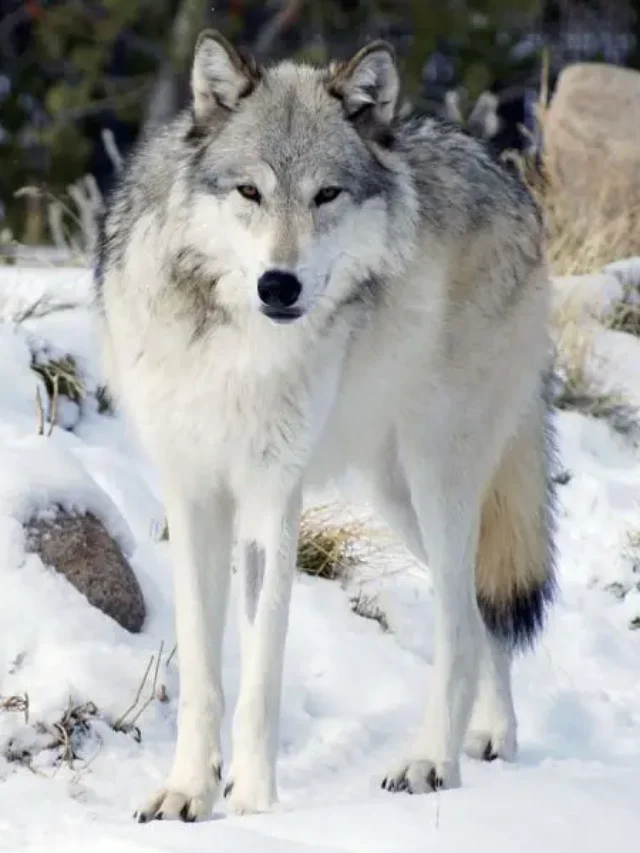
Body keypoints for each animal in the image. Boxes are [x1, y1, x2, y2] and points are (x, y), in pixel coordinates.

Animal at [95, 29, 556, 822]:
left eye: (326, 194)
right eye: (249, 192)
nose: (279, 285)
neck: (236, 345)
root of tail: (509, 181)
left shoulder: (272, 496)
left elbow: (261, 673)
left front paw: (253, 805)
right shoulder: (193, 493)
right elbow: (204, 671)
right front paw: (188, 792)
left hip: (439, 477)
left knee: (459, 624)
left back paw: (430, 761)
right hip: (396, 495)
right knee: (478, 615)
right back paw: (493, 735)